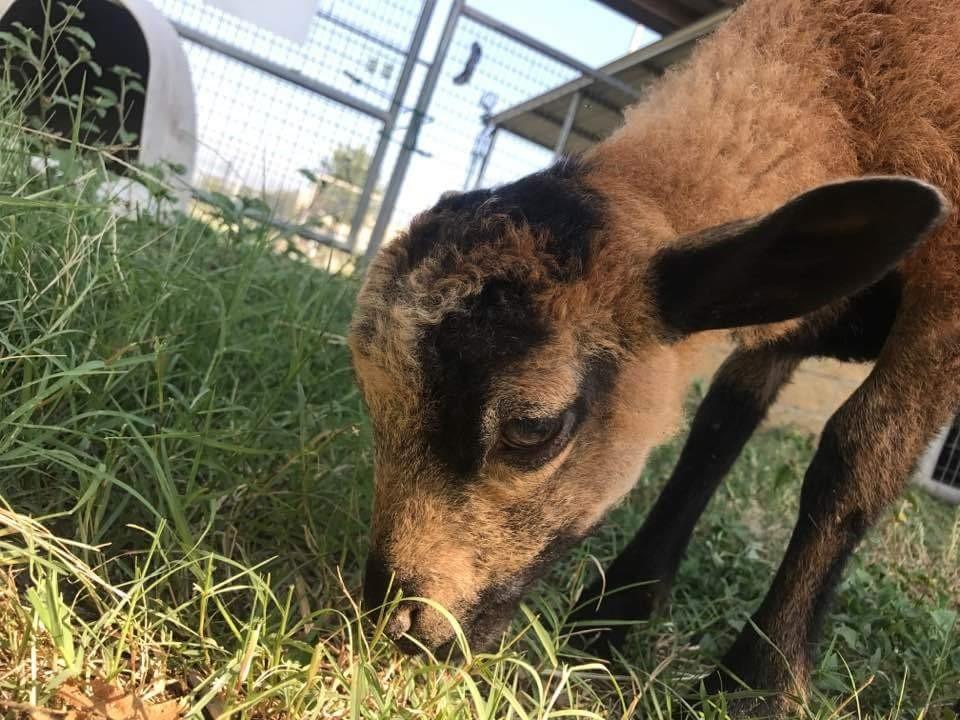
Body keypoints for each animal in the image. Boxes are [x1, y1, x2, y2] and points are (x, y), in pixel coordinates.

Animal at [349, 0, 960, 712]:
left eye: (532, 428)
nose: (396, 625)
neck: (863, 72)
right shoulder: (789, 307)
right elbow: (715, 433)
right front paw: (613, 610)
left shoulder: (945, 312)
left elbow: (855, 459)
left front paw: (758, 684)